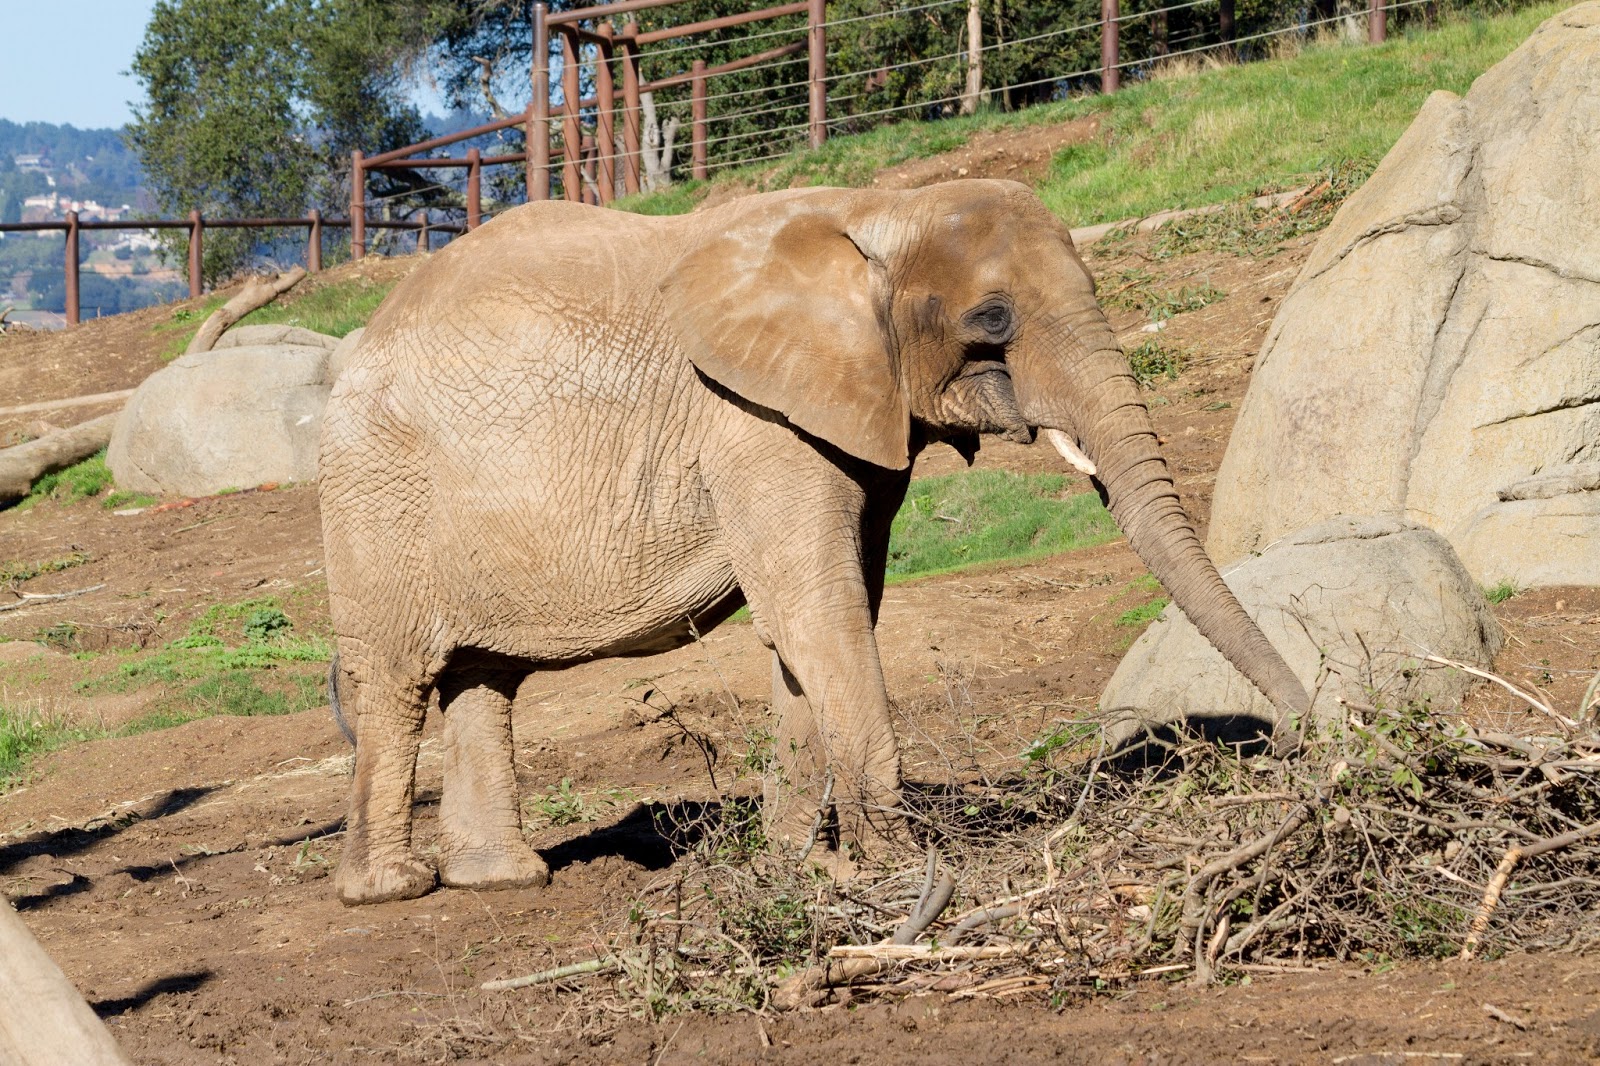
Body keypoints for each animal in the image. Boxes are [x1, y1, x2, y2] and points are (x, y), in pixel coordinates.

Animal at [319, 179, 1309, 906]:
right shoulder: (752, 419)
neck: (880, 209)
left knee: (484, 678)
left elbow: (832, 610)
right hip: (374, 492)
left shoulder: (855, 410)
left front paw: (803, 864)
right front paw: (903, 869)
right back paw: (392, 890)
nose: (1304, 737)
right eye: (992, 321)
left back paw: (505, 880)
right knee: (398, 678)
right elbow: (817, 608)